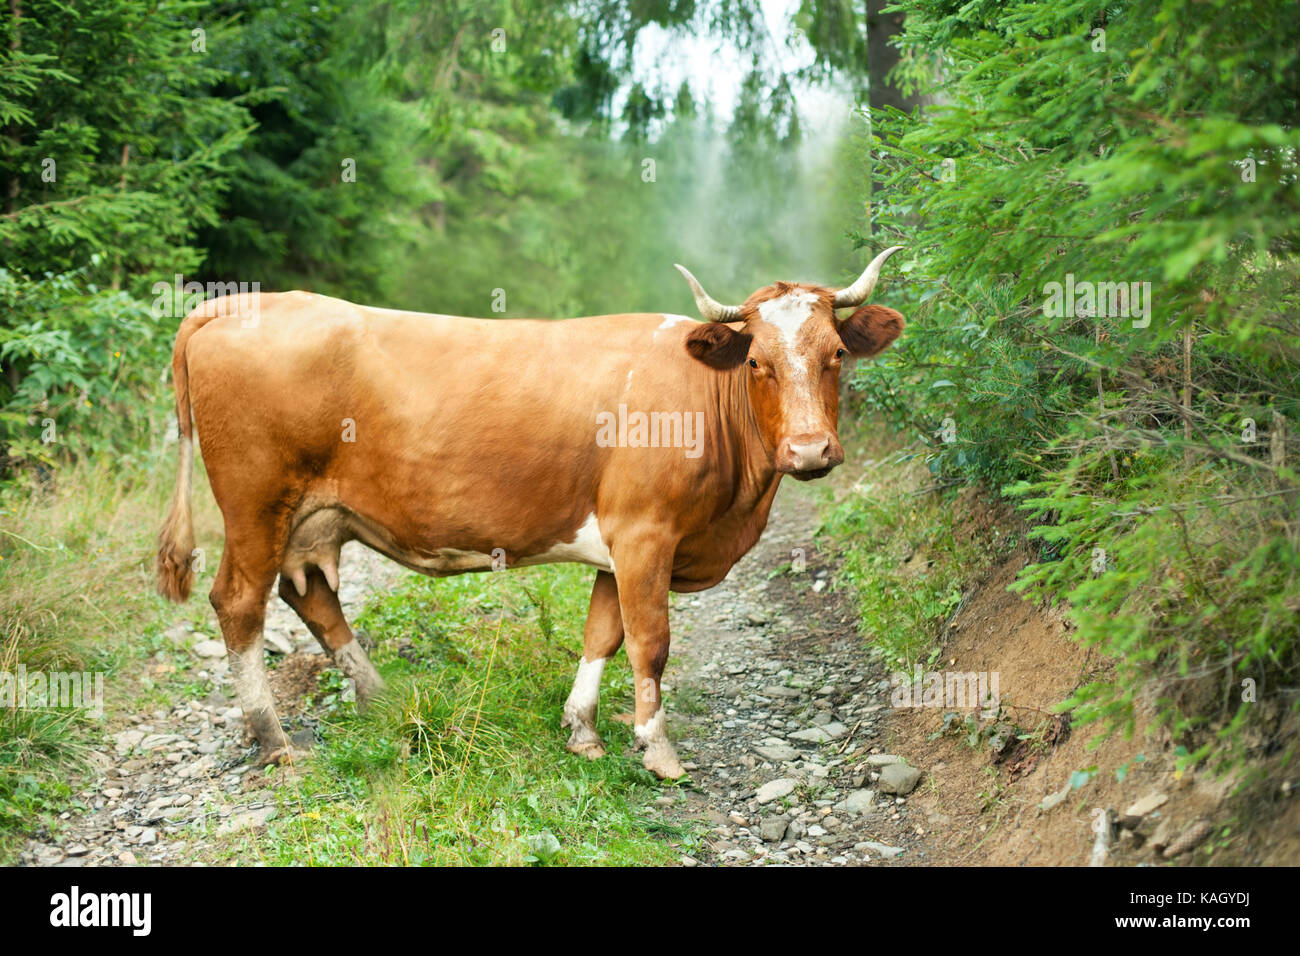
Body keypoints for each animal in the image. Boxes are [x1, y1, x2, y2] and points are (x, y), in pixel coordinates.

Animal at [156, 247, 906, 778]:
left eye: (837, 353)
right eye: (756, 363)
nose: (809, 449)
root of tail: (237, 306)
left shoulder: (618, 542)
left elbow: (602, 633)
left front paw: (583, 730)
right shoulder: (646, 534)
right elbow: (651, 642)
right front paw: (657, 749)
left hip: (311, 519)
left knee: (310, 595)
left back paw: (379, 698)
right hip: (256, 505)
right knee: (240, 603)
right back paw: (274, 739)